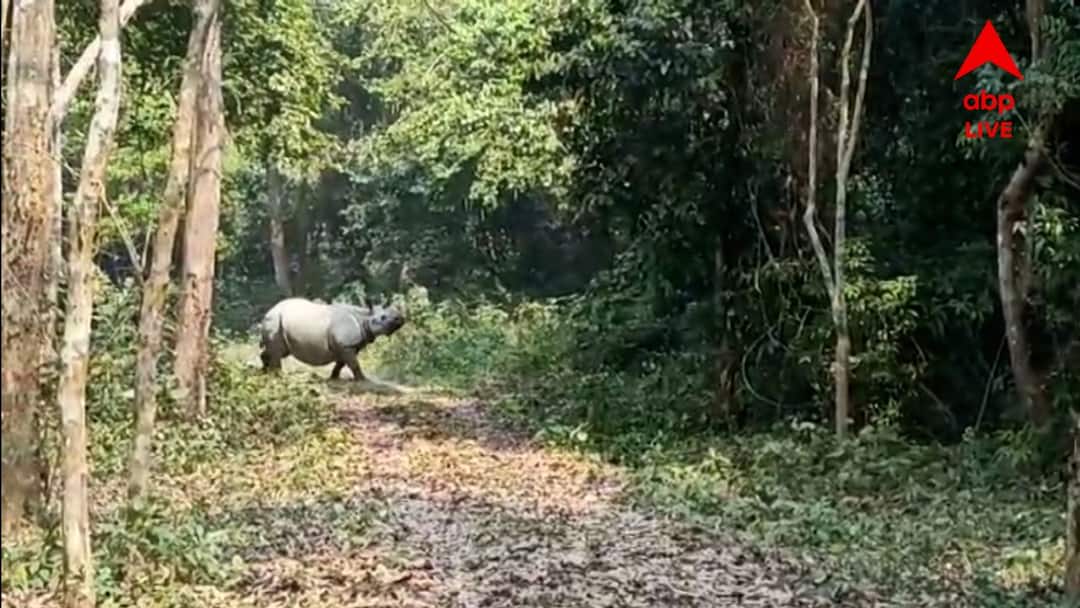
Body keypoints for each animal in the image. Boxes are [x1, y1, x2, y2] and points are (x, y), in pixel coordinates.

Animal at [258, 297, 405, 381]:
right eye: (383, 318)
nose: (400, 318)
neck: (364, 318)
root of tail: (269, 311)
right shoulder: (345, 344)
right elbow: (353, 364)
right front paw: (363, 380)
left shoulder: (348, 345)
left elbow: (342, 363)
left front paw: (334, 377)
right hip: (274, 320)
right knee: (277, 351)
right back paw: (278, 376)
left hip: (278, 321)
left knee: (279, 350)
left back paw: (264, 371)